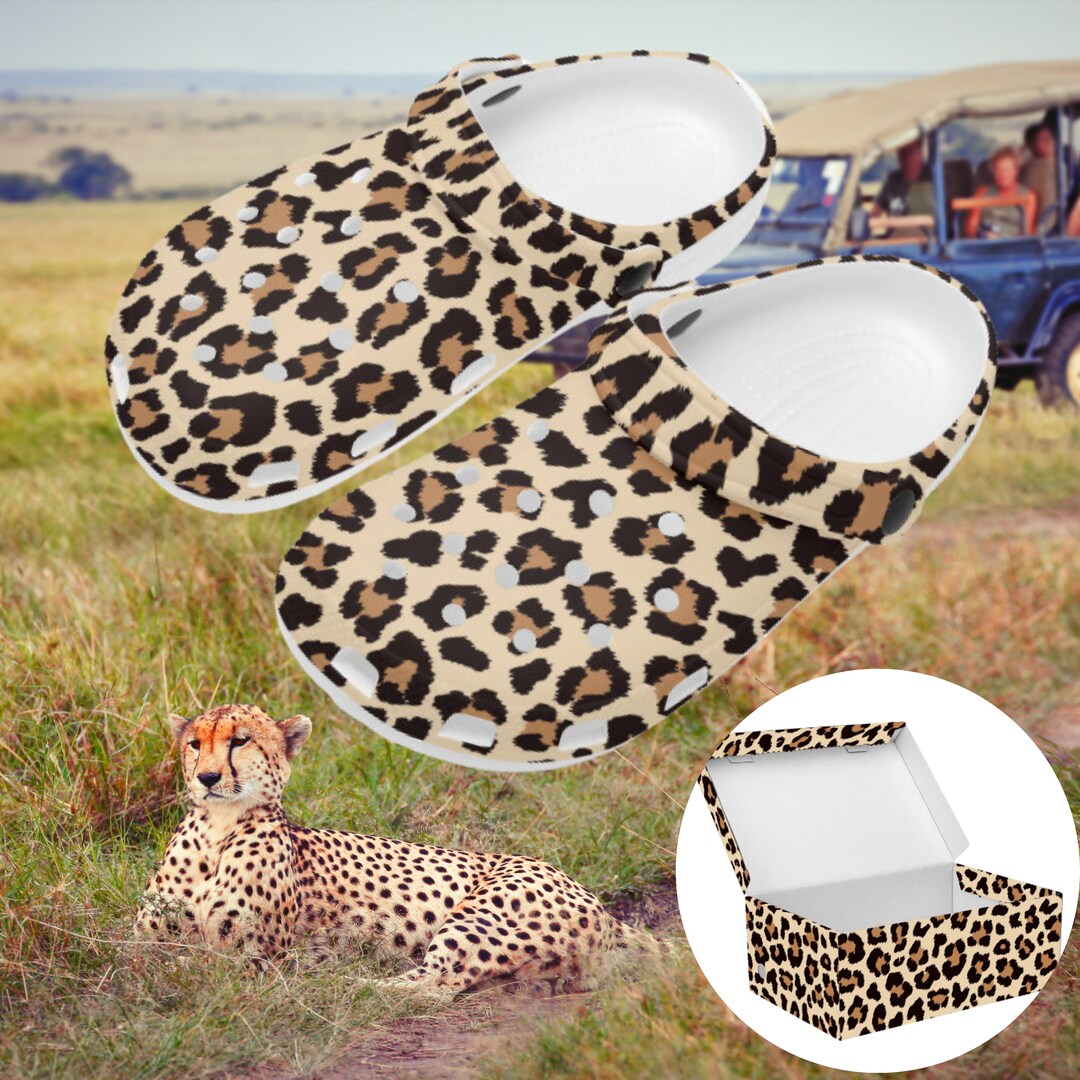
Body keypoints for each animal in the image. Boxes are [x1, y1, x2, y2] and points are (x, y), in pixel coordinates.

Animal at [134, 704, 664, 995]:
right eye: (194, 744)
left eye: (240, 741)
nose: (207, 778)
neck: (216, 831)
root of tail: (604, 910)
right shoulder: (147, 935)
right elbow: (139, 956)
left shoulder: (257, 953)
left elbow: (201, 964)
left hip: (480, 916)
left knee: (436, 984)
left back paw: (345, 982)